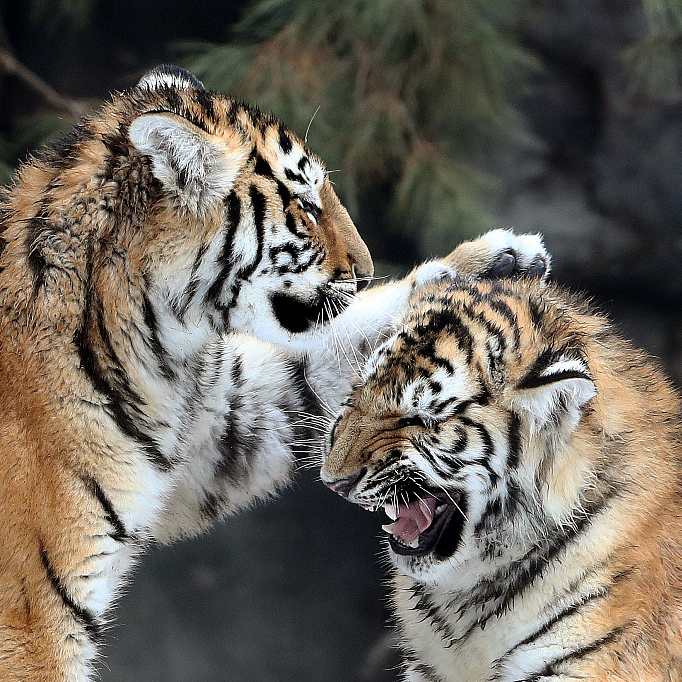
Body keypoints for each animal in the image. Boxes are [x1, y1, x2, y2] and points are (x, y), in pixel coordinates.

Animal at [0, 63, 552, 681]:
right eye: (306, 206)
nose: (366, 271)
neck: (157, 349)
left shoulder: (223, 423)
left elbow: (317, 360)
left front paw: (496, 264)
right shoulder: (32, 622)